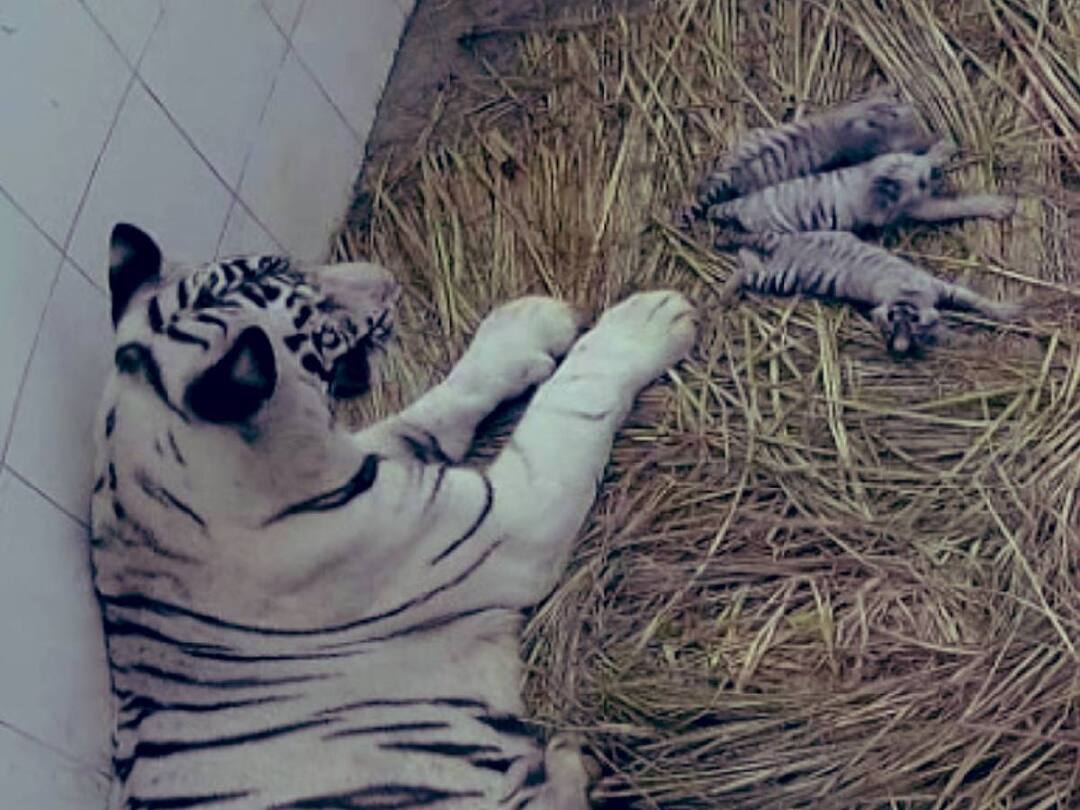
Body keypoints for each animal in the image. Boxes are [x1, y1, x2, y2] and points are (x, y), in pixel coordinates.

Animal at [91, 222, 696, 809]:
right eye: (318, 318)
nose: (385, 280)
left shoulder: (371, 457)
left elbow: (432, 409)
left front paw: (525, 326)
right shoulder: (510, 520)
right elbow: (568, 406)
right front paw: (646, 323)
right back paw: (574, 761)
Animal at [705, 139, 1016, 242]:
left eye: (923, 173)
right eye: (921, 183)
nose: (936, 174)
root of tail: (741, 204)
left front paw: (941, 149)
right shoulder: (913, 207)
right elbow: (952, 206)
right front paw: (997, 206)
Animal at [728, 230, 1020, 356]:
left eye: (912, 322)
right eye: (890, 324)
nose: (900, 349)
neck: (906, 294)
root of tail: (783, 240)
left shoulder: (941, 289)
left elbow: (975, 300)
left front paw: (1005, 311)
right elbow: (944, 333)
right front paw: (969, 339)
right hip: (782, 277)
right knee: (748, 271)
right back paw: (728, 287)